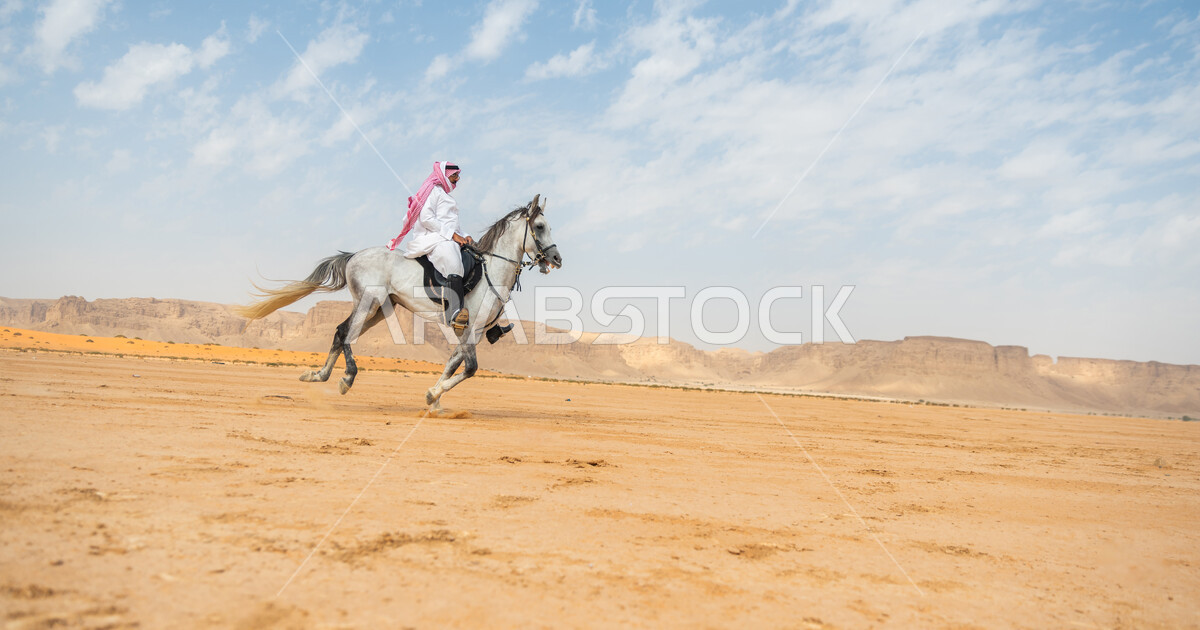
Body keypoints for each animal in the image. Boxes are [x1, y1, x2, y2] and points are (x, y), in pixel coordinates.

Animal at [236, 195, 562, 411]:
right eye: (540, 226)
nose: (557, 259)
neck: (492, 270)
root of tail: (353, 256)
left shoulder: (474, 332)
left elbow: (452, 363)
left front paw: (434, 398)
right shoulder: (470, 329)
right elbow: (469, 368)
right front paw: (433, 396)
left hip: (380, 310)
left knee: (340, 332)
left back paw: (318, 375)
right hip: (369, 302)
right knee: (347, 335)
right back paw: (346, 378)